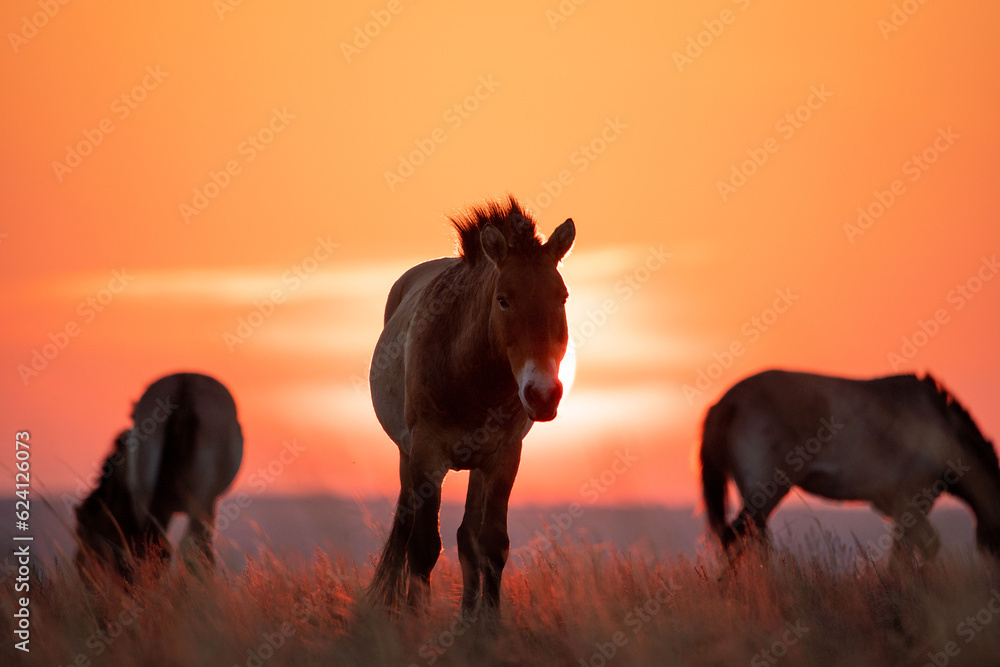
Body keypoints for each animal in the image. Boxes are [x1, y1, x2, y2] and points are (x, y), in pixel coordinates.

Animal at [367, 197, 575, 618]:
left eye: (561, 297)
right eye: (503, 299)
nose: (543, 395)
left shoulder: (504, 458)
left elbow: (492, 545)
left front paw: (486, 626)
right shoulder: (427, 455)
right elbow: (423, 548)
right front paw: (416, 620)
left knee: (468, 539)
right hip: (405, 455)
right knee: (409, 532)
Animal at [700, 369, 1000, 562]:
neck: (944, 428)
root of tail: (727, 402)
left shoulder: (892, 504)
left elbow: (913, 547)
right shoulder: (914, 499)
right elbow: (913, 549)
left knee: (738, 538)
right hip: (767, 493)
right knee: (743, 538)